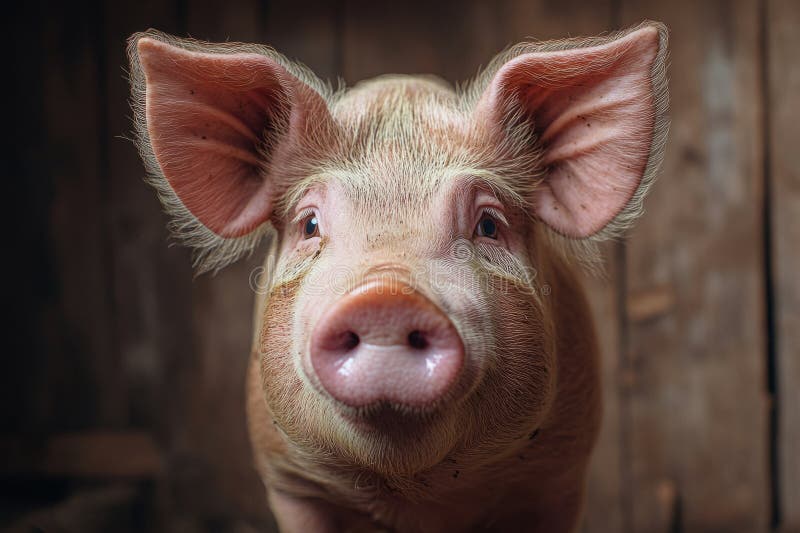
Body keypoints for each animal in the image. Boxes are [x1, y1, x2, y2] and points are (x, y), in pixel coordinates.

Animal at [128, 21, 668, 532]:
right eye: (310, 224)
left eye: (489, 225)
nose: (385, 298)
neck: (414, 498)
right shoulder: (291, 483)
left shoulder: (559, 477)